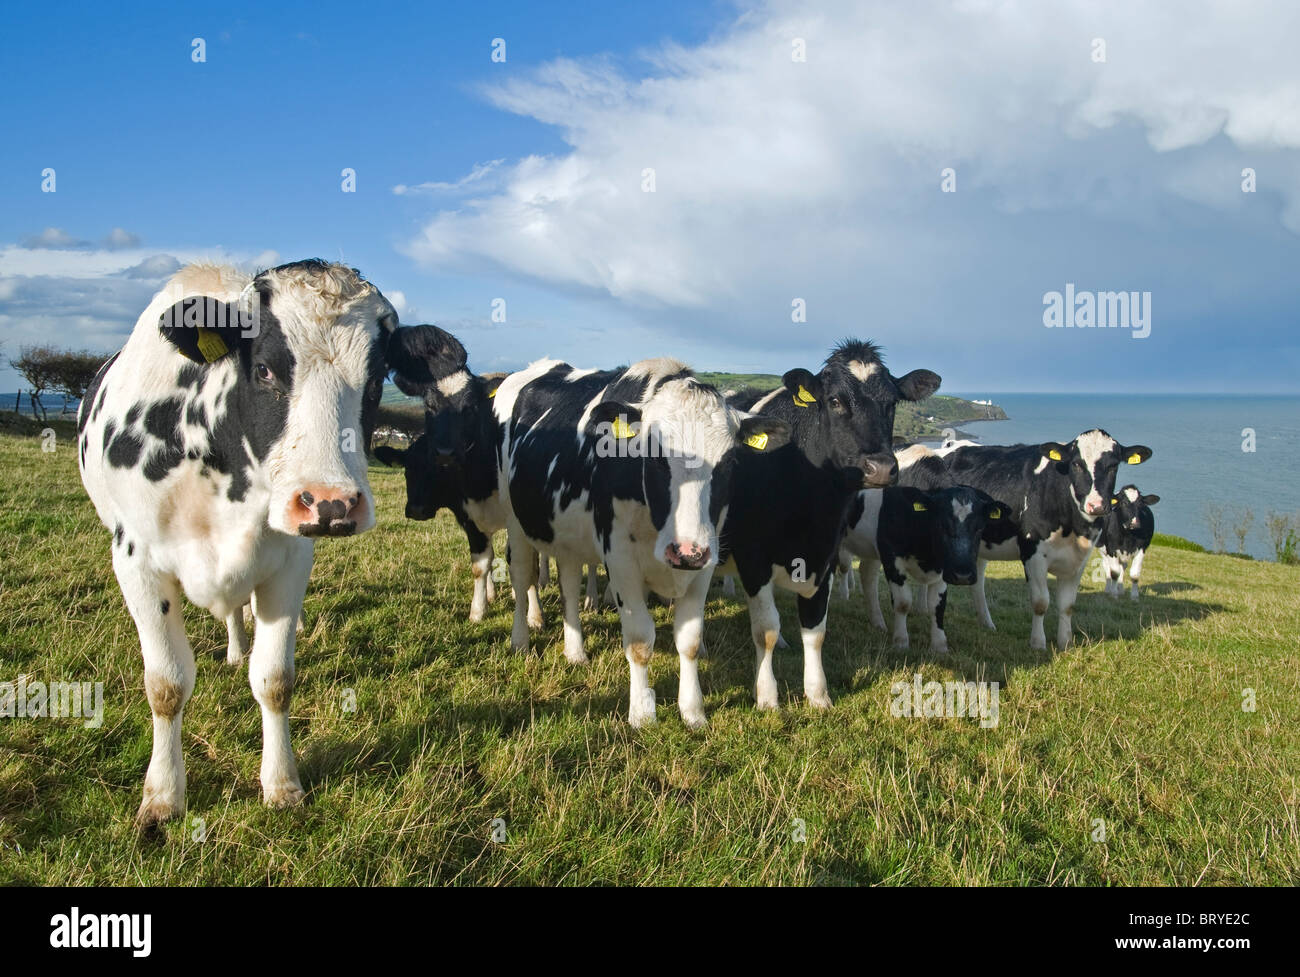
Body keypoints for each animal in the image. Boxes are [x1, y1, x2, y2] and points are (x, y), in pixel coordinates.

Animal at [78, 259, 397, 829]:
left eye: (378, 377)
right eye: (265, 370)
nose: (331, 505)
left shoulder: (290, 561)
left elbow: (274, 680)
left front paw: (282, 784)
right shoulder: (136, 563)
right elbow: (166, 686)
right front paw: (163, 795)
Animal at [491, 357, 789, 728]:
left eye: (730, 462)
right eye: (656, 457)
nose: (686, 551)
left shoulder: (704, 561)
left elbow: (689, 640)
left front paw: (693, 711)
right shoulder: (620, 560)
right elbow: (639, 640)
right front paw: (643, 713)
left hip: (569, 538)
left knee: (570, 585)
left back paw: (575, 652)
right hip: (514, 518)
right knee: (521, 577)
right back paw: (521, 639)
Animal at [719, 341, 942, 711]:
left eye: (892, 402)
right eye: (835, 401)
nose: (881, 467)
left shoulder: (823, 556)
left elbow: (815, 630)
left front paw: (818, 694)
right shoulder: (753, 558)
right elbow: (765, 629)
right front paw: (767, 695)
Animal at [841, 485, 1015, 651]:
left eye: (979, 528)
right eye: (941, 525)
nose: (963, 575)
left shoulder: (942, 569)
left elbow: (937, 606)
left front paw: (939, 645)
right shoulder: (891, 559)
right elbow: (903, 602)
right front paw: (901, 642)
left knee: (867, 575)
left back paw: (878, 623)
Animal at [917, 431, 1153, 649]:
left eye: (1113, 466)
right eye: (1077, 464)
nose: (1096, 506)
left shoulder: (1080, 559)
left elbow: (1068, 605)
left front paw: (1065, 643)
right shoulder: (1034, 554)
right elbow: (1041, 602)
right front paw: (1038, 643)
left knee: (977, 582)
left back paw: (982, 622)